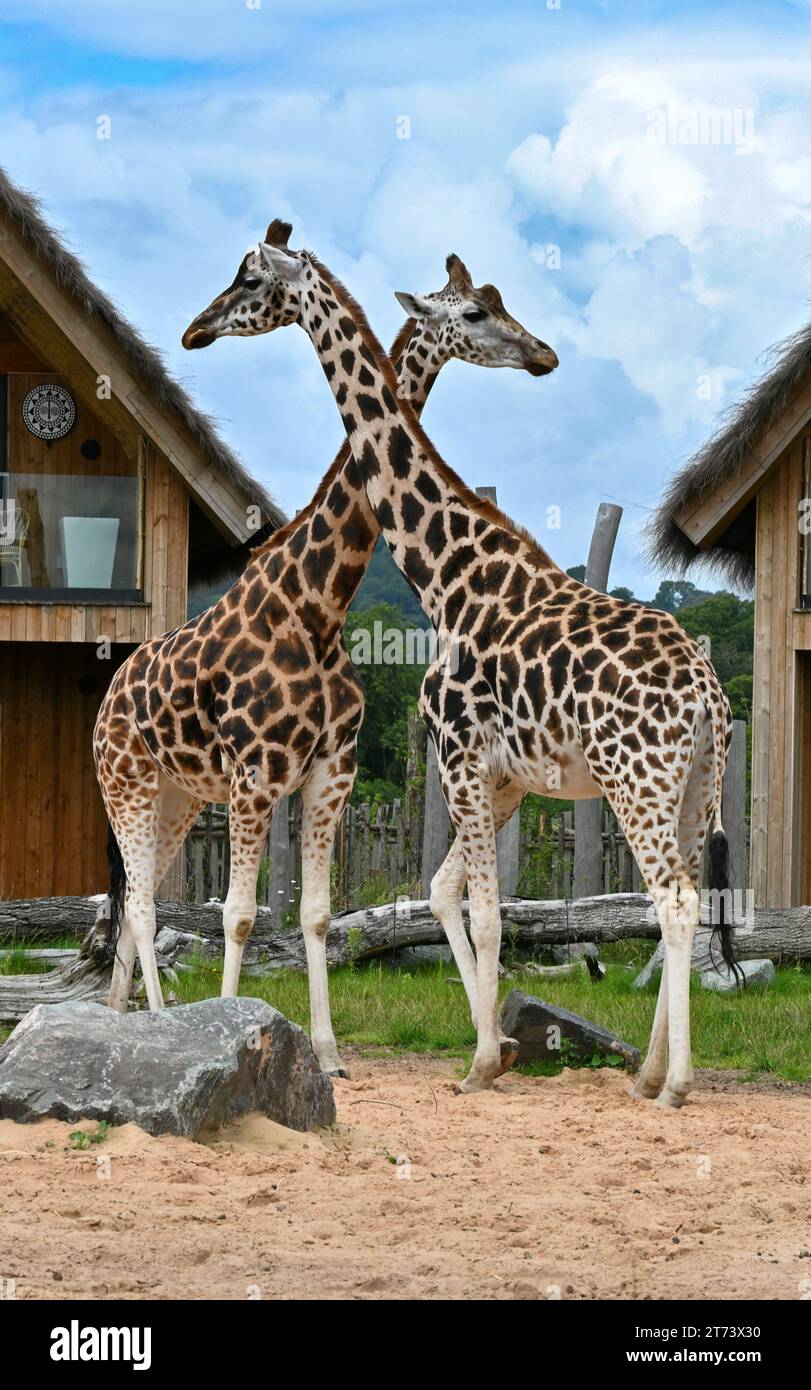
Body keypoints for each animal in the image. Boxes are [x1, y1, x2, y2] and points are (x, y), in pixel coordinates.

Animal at [93, 233, 555, 1079]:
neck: (317, 605)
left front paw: (330, 1054)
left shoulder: (328, 770)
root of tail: (110, 691)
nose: (195, 330)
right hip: (127, 781)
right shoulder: (255, 772)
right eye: (477, 312)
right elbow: (240, 916)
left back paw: (118, 1021)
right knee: (140, 904)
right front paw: (230, 1034)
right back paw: (160, 1022)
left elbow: (312, 914)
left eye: (499, 304)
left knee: (136, 902)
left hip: (178, 796)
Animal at [182, 220, 736, 1109]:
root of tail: (708, 696)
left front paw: (480, 1062)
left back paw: (673, 1084)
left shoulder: (460, 754)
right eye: (480, 309)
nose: (195, 328)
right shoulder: (503, 773)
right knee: (678, 895)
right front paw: (495, 1049)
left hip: (635, 779)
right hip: (691, 787)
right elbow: (450, 896)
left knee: (676, 901)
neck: (446, 574)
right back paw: (648, 1071)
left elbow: (483, 912)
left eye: (247, 279)